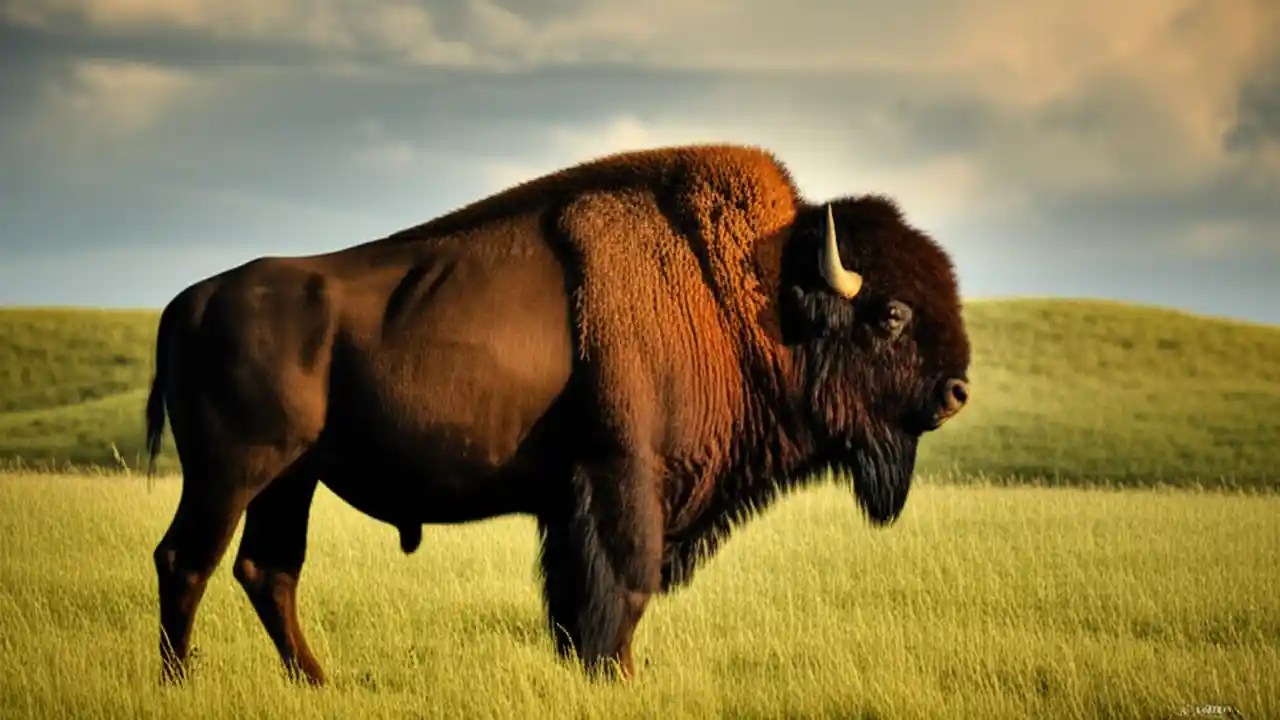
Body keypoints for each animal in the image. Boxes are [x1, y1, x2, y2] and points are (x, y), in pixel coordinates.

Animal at [145, 144, 971, 683]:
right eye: (891, 314)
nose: (957, 392)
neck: (749, 296)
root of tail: (189, 301)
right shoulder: (625, 477)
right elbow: (623, 589)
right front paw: (620, 676)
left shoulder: (575, 504)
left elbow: (577, 599)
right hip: (230, 474)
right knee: (187, 560)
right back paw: (182, 683)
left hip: (290, 481)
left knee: (267, 570)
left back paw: (317, 681)